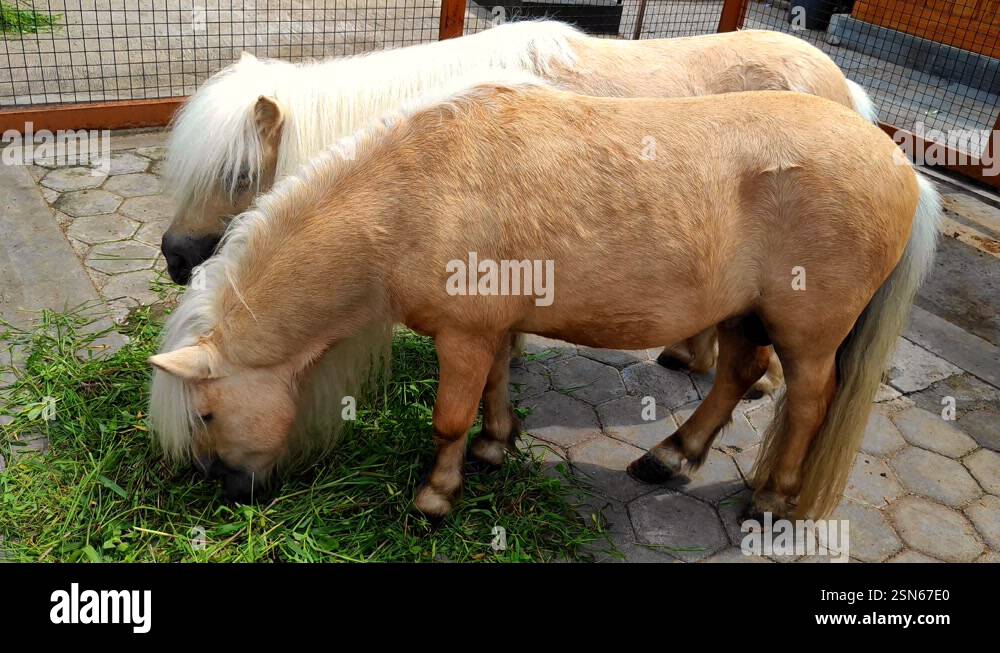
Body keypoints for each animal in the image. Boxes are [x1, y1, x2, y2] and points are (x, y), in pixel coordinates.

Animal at [149, 80, 939, 521]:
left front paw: (436, 497)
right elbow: (496, 388)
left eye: (208, 413)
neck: (414, 193)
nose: (228, 488)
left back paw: (773, 497)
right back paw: (672, 456)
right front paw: (497, 445)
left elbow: (449, 417)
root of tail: (899, 163)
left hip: (807, 331)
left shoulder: (463, 335)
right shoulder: (490, 329)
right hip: (745, 314)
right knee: (739, 375)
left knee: (806, 400)